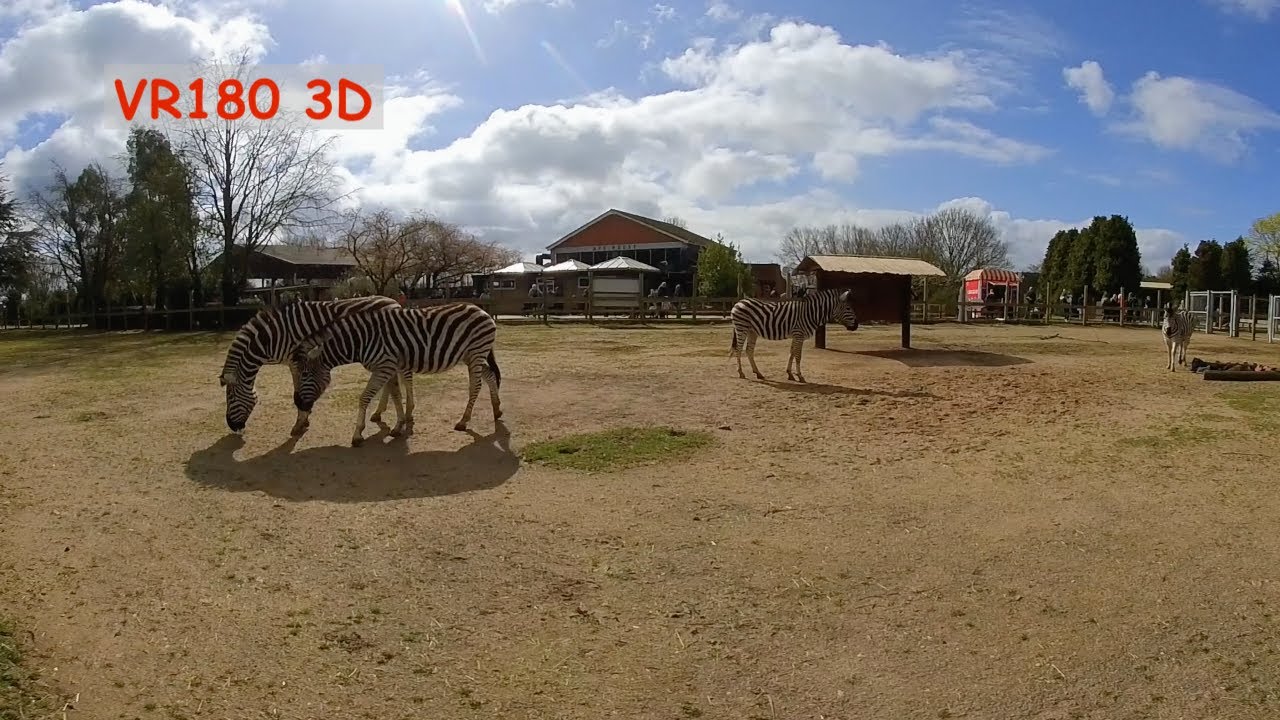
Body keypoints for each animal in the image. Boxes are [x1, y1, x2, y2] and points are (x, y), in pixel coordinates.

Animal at [219, 296, 409, 434]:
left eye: (231, 397)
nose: (232, 427)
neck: (274, 338)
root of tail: (392, 300)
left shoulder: (296, 361)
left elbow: (297, 392)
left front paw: (301, 421)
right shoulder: (294, 363)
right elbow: (299, 391)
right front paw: (304, 418)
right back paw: (378, 413)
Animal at [291, 302, 503, 447]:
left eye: (305, 374)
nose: (299, 404)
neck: (362, 340)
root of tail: (481, 309)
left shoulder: (385, 366)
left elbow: (365, 397)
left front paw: (358, 434)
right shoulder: (389, 367)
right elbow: (395, 395)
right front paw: (399, 425)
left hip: (476, 352)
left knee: (476, 385)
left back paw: (464, 421)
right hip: (471, 355)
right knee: (490, 376)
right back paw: (496, 409)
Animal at [729, 288, 859, 383]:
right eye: (848, 308)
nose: (856, 325)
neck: (810, 314)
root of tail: (739, 302)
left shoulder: (795, 336)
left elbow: (791, 353)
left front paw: (790, 374)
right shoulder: (799, 335)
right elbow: (798, 356)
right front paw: (800, 376)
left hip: (752, 331)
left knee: (749, 350)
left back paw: (758, 373)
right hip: (742, 327)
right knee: (739, 349)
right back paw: (741, 372)